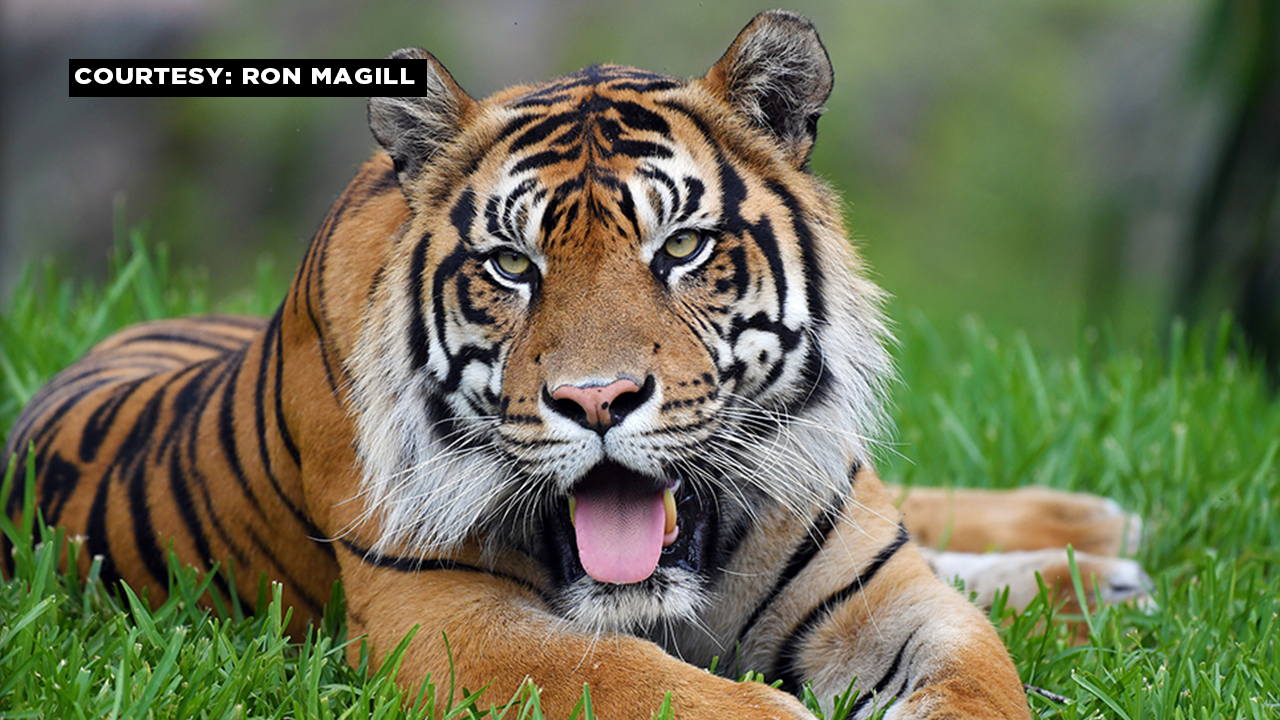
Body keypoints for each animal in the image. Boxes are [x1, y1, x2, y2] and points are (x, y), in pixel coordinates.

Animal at [1, 11, 1150, 719]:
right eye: (512, 266)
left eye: (679, 248)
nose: (596, 402)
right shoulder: (442, 620)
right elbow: (641, 682)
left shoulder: (879, 583)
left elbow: (979, 674)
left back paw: (1095, 547)